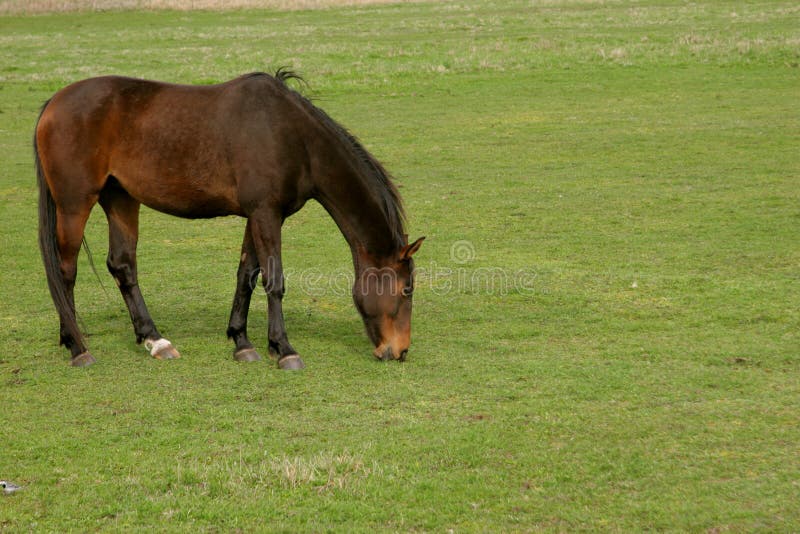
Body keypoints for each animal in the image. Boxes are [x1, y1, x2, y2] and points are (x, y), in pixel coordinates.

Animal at [34, 70, 424, 369]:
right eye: (407, 289)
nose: (400, 350)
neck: (292, 135)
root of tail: (53, 103)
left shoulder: (259, 215)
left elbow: (246, 275)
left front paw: (242, 341)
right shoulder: (266, 213)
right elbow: (274, 280)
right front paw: (284, 349)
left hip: (121, 199)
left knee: (122, 266)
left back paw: (154, 340)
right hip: (75, 204)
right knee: (65, 271)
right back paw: (77, 346)